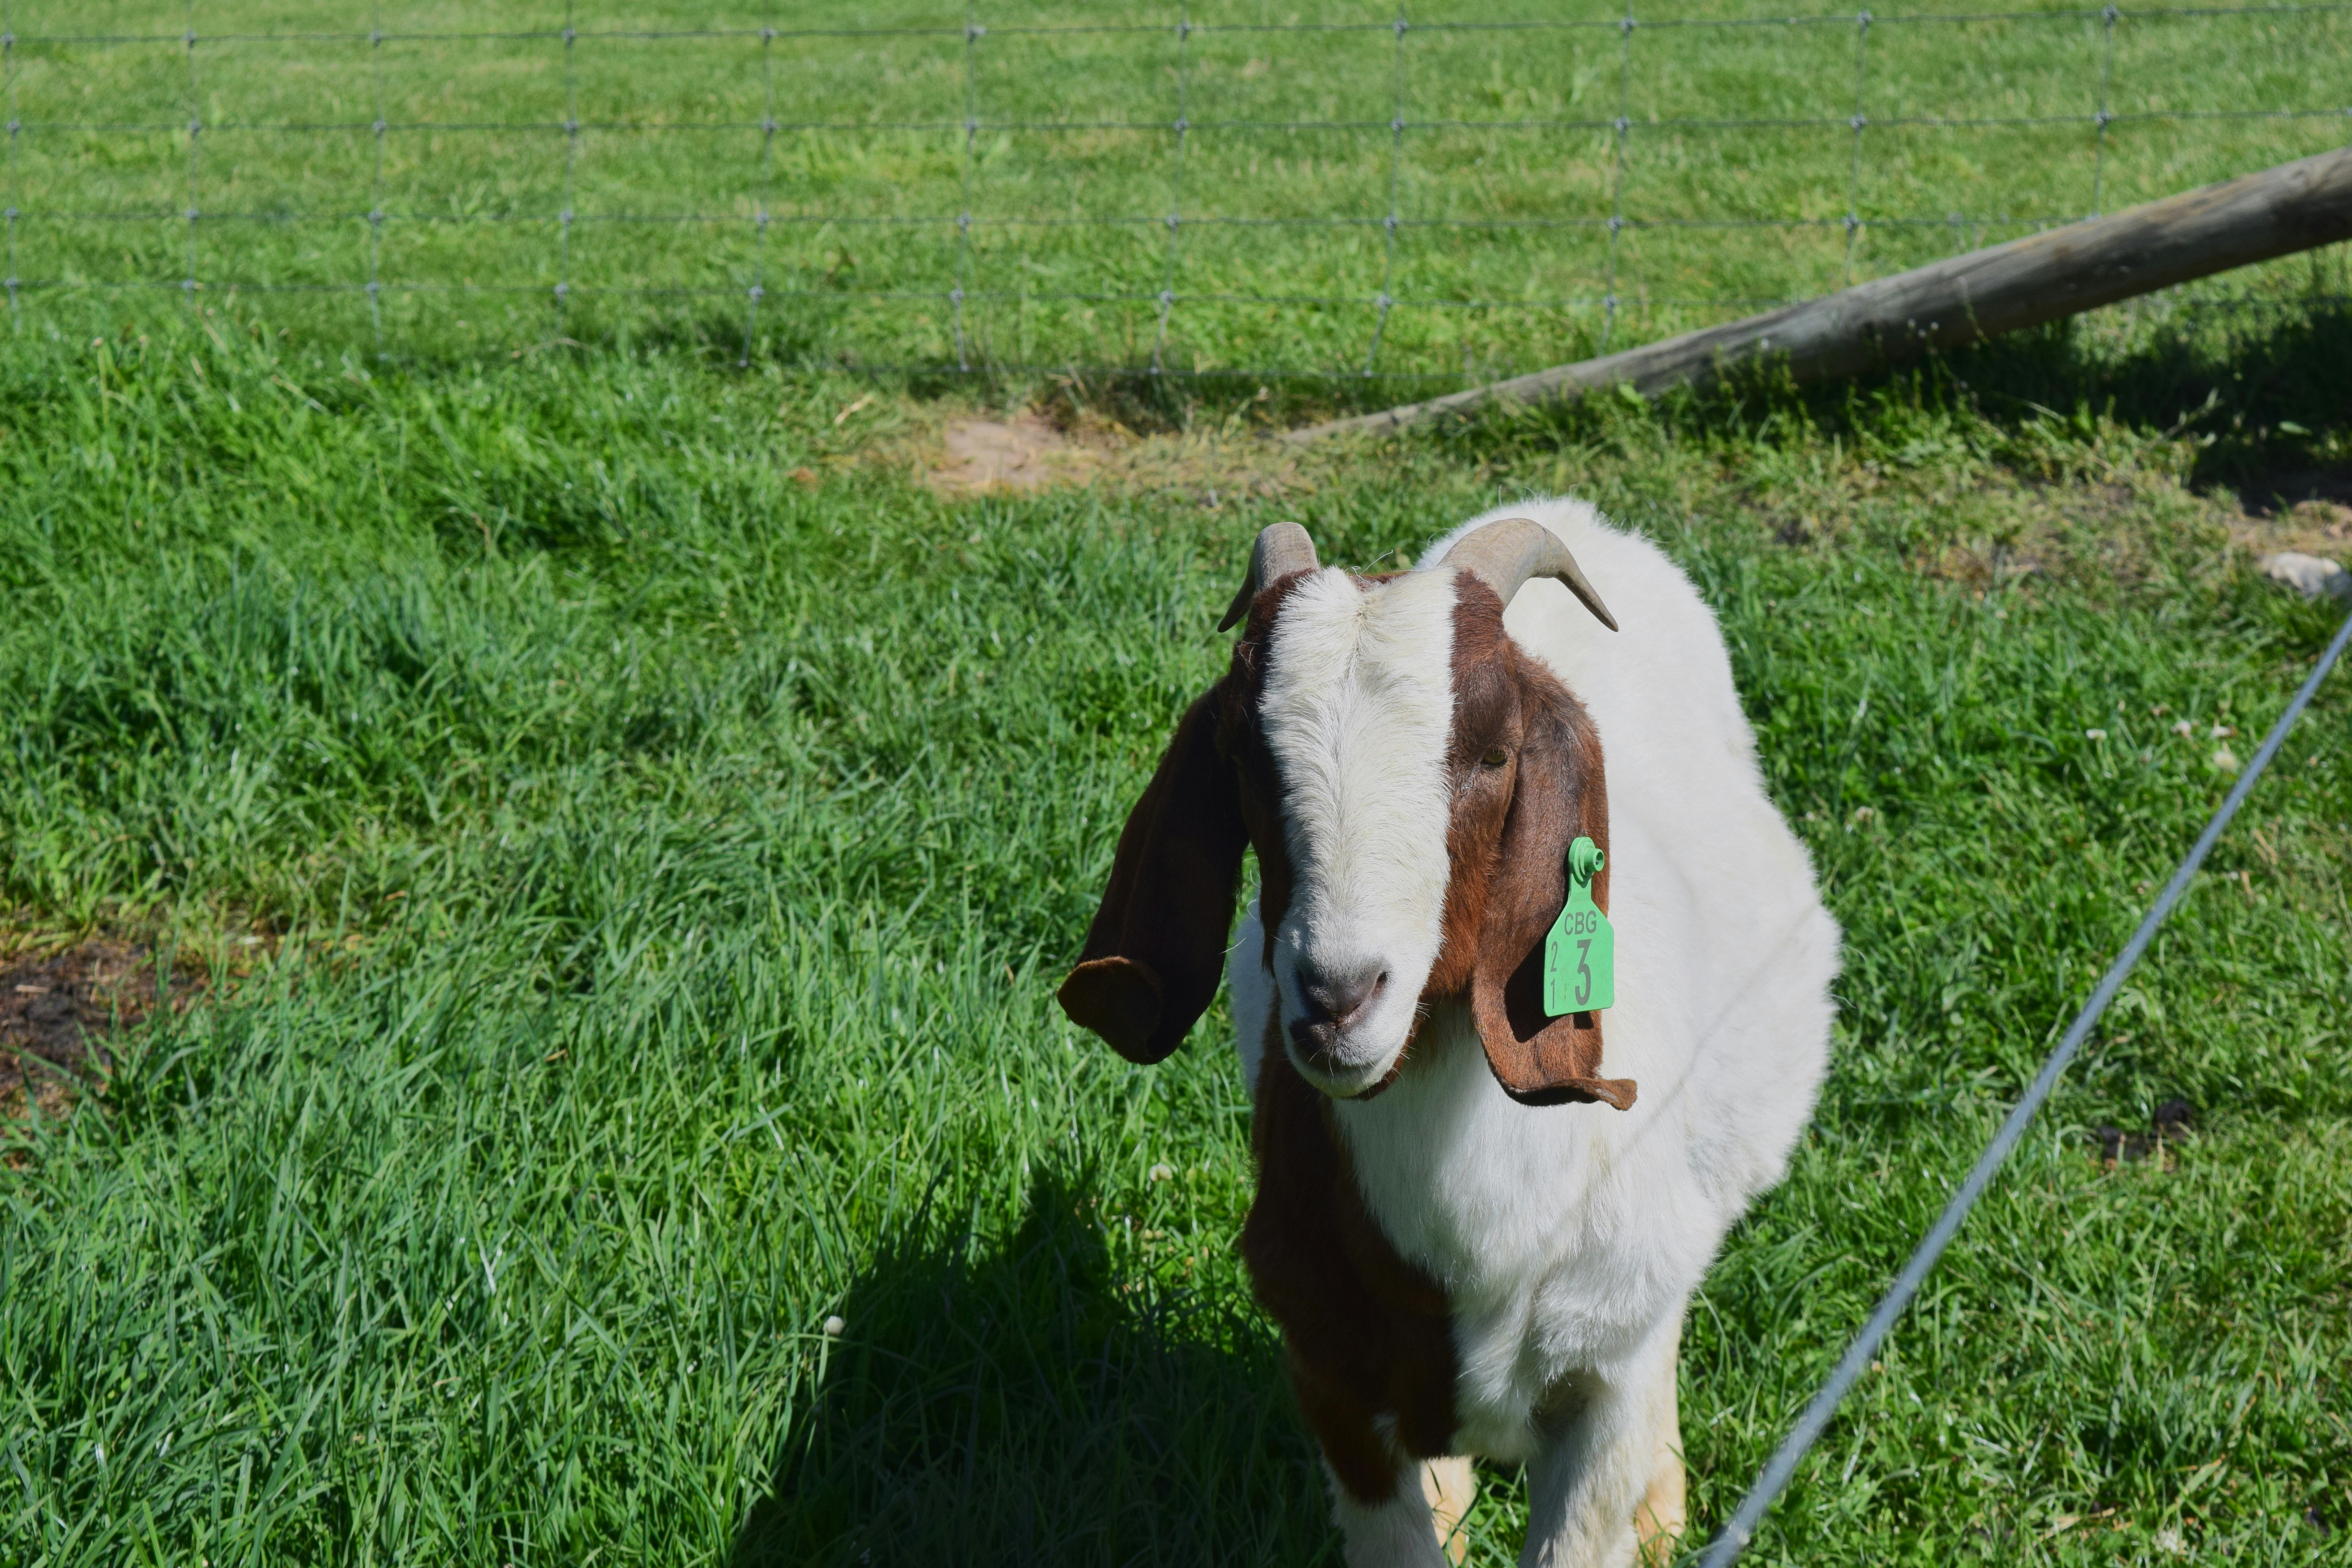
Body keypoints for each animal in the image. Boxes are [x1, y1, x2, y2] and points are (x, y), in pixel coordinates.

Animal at [1057, 499, 1840, 1568]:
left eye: (1495, 752)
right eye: (1244, 754)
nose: (1339, 996)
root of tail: (1575, 507)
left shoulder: (1599, 1385)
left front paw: (1647, 1505)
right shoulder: (1330, 1373)